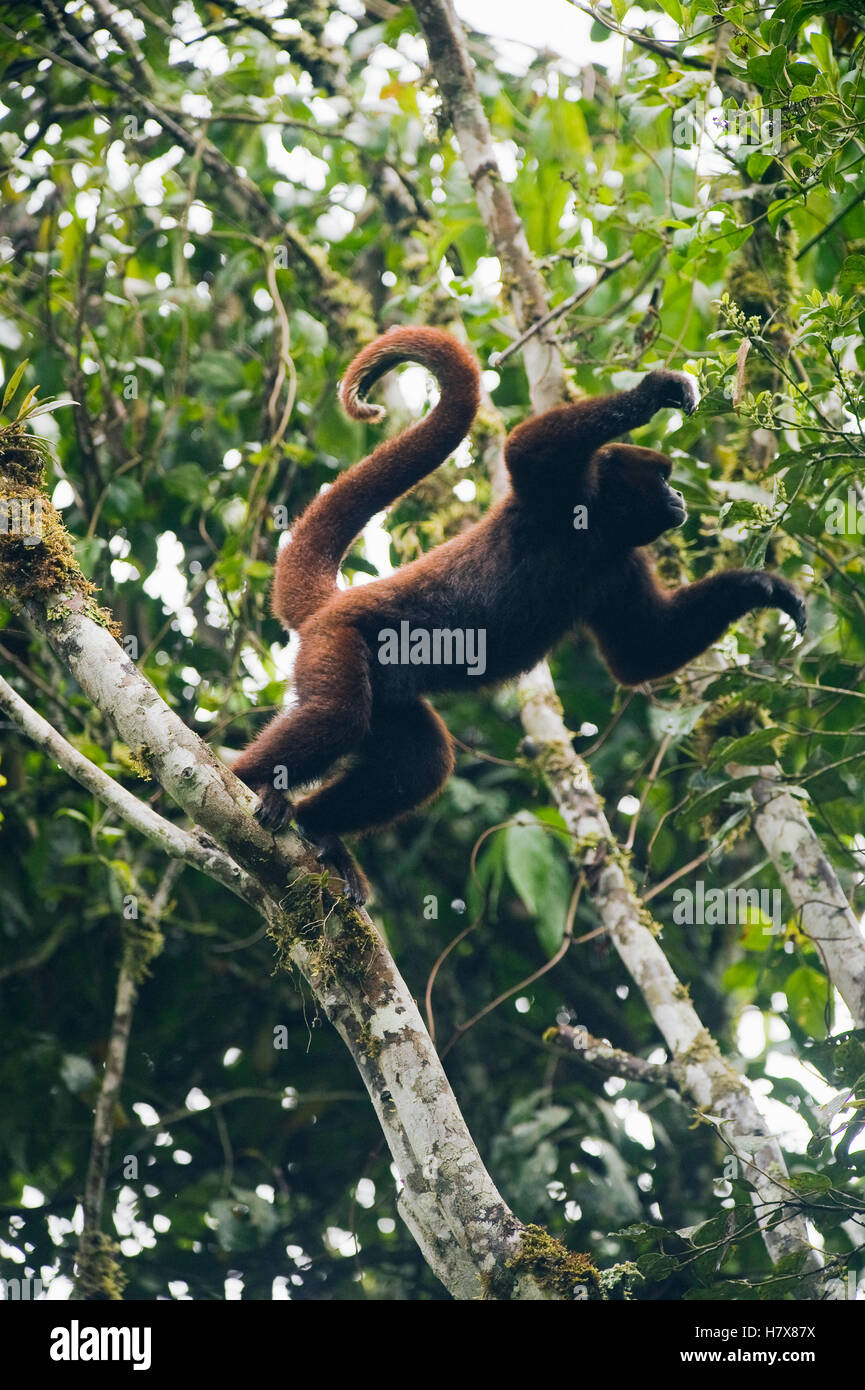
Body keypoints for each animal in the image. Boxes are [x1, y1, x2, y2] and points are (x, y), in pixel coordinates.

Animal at [231, 327, 805, 903]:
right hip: (339, 638)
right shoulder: (554, 493)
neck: (595, 530)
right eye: (662, 478)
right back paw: (252, 781)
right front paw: (655, 390)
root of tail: (333, 603)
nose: (680, 494)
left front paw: (762, 587)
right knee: (337, 716)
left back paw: (321, 831)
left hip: (390, 692)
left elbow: (642, 652)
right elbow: (525, 446)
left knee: (421, 764)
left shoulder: (619, 566)